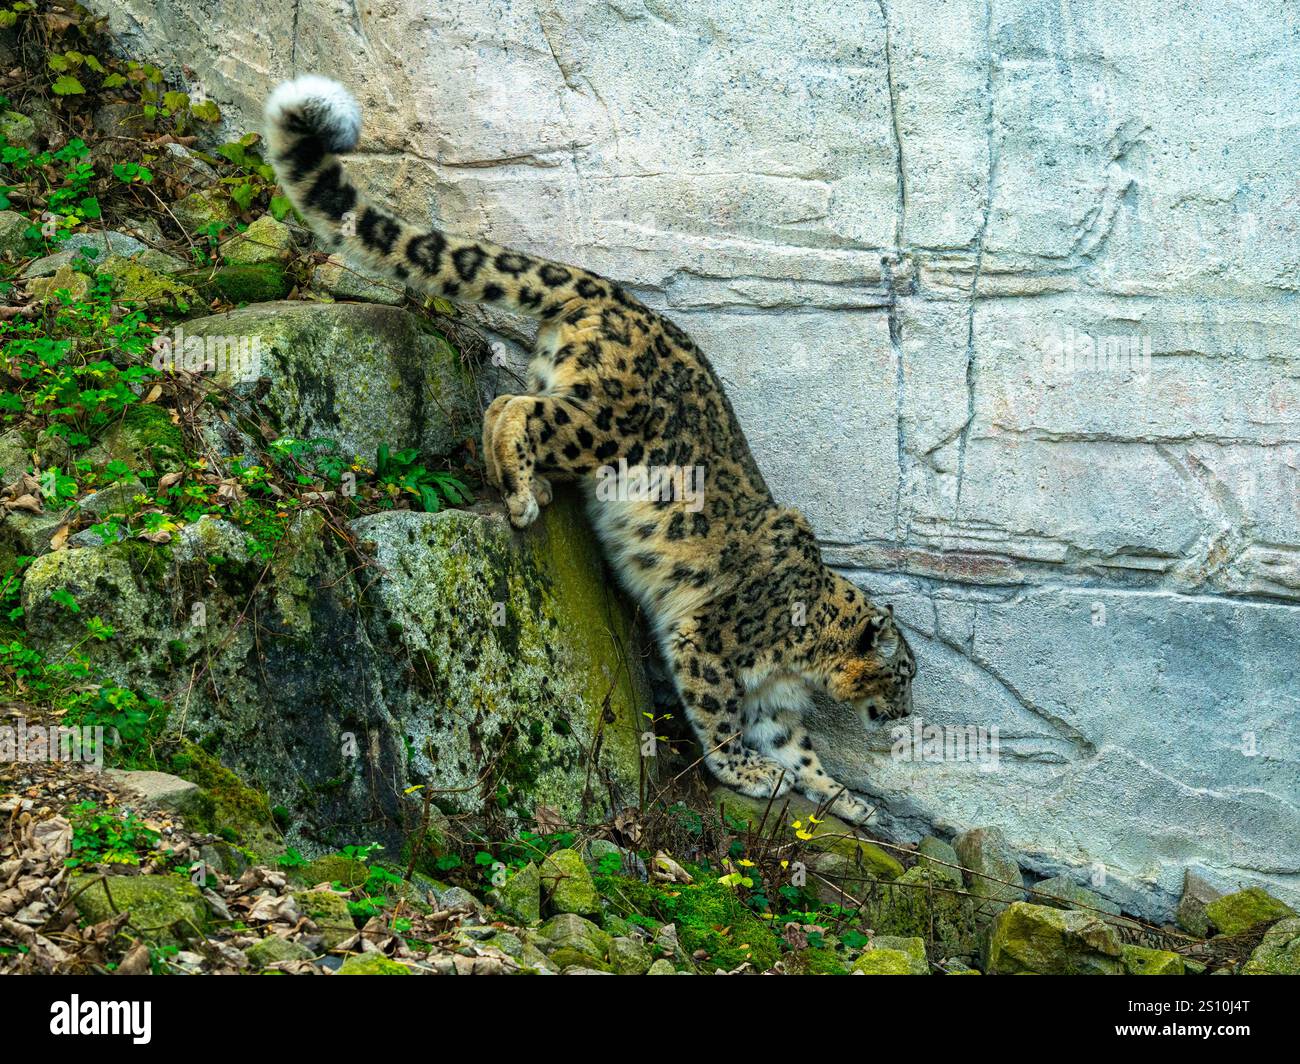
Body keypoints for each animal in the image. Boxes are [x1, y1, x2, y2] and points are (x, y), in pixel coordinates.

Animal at [265, 76, 916, 825]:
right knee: (513, 409)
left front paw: (850, 801)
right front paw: (748, 773)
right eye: (902, 674)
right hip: (604, 426)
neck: (800, 662)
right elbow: (722, 720)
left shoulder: (776, 707)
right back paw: (522, 495)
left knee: (507, 402)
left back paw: (524, 485)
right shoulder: (710, 645)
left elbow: (801, 751)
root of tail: (616, 294)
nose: (903, 716)